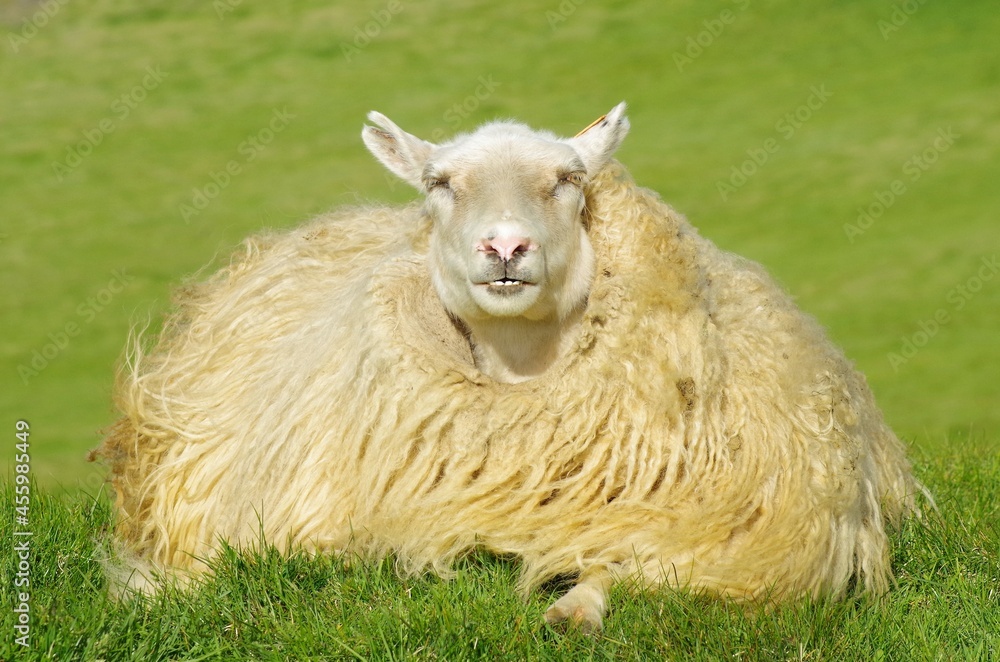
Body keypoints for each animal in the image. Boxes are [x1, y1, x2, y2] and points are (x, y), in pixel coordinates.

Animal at [92, 103, 923, 631]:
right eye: (438, 182)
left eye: (568, 179)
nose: (504, 247)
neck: (523, 380)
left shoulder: (720, 529)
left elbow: (632, 563)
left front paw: (574, 610)